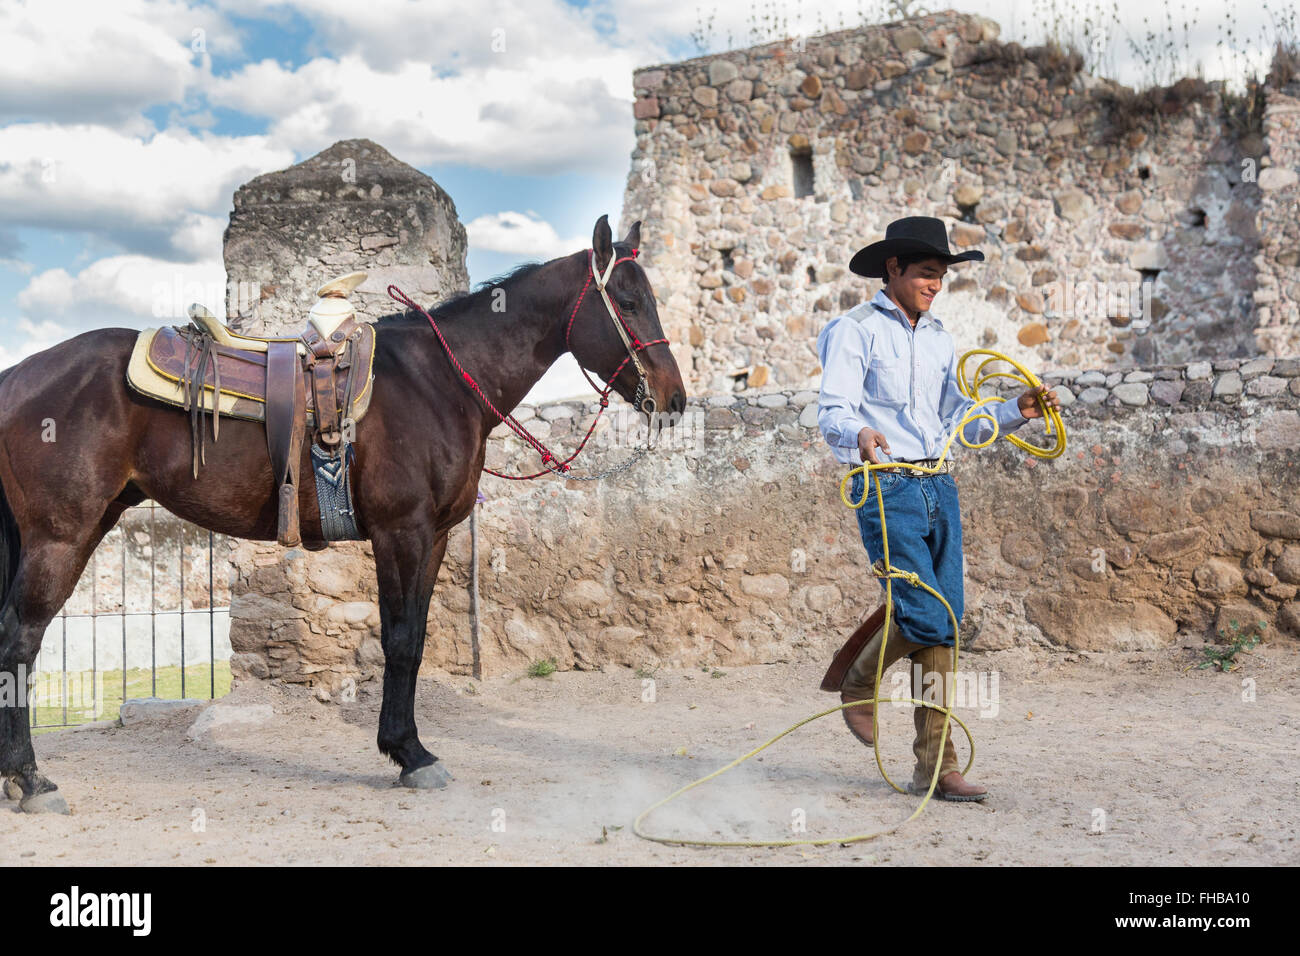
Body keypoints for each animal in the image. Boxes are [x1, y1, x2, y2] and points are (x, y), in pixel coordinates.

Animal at [0, 215, 686, 813]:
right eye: (627, 300)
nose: (675, 398)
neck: (439, 381)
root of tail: (15, 378)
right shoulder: (400, 532)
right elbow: (400, 639)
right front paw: (409, 754)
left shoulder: (435, 538)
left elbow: (414, 638)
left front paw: (407, 746)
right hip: (61, 539)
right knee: (20, 641)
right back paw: (31, 781)